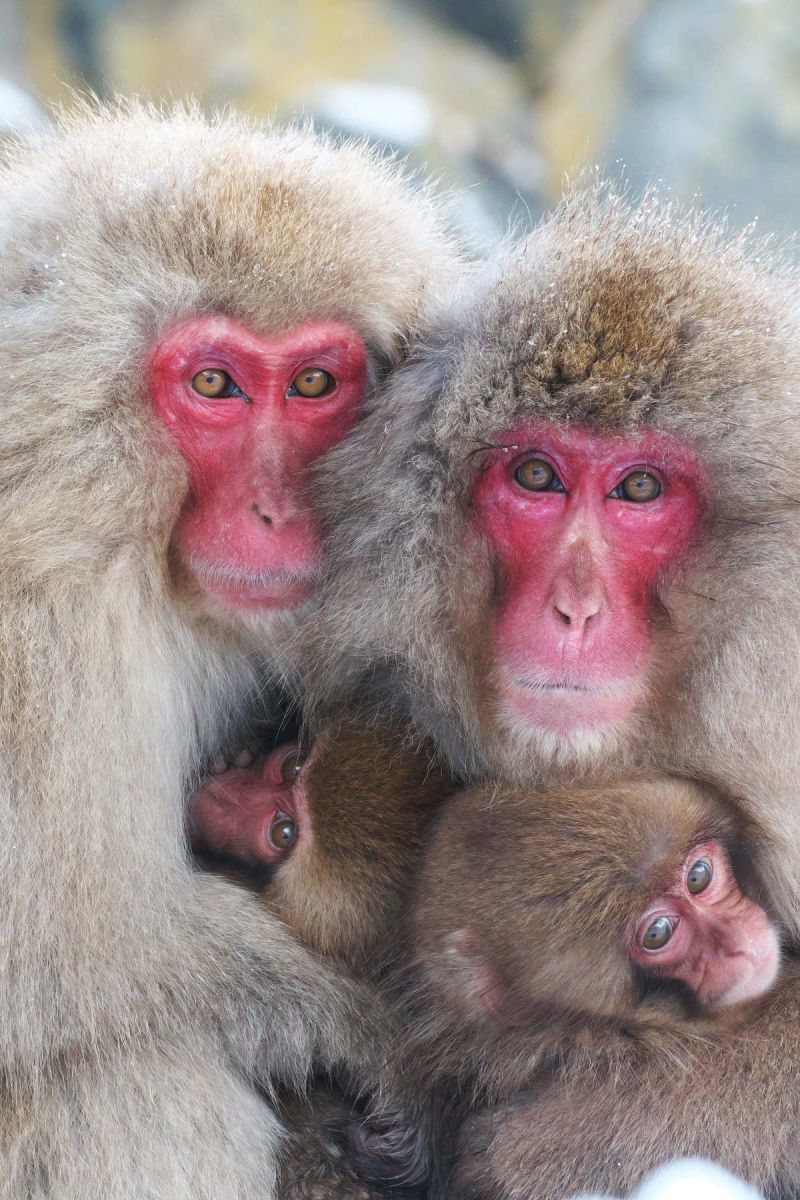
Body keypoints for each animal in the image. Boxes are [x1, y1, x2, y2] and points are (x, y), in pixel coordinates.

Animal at [0, 101, 462, 1197]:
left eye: (313, 384)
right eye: (214, 384)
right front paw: (371, 1037)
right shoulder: (39, 638)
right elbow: (64, 959)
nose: (275, 512)